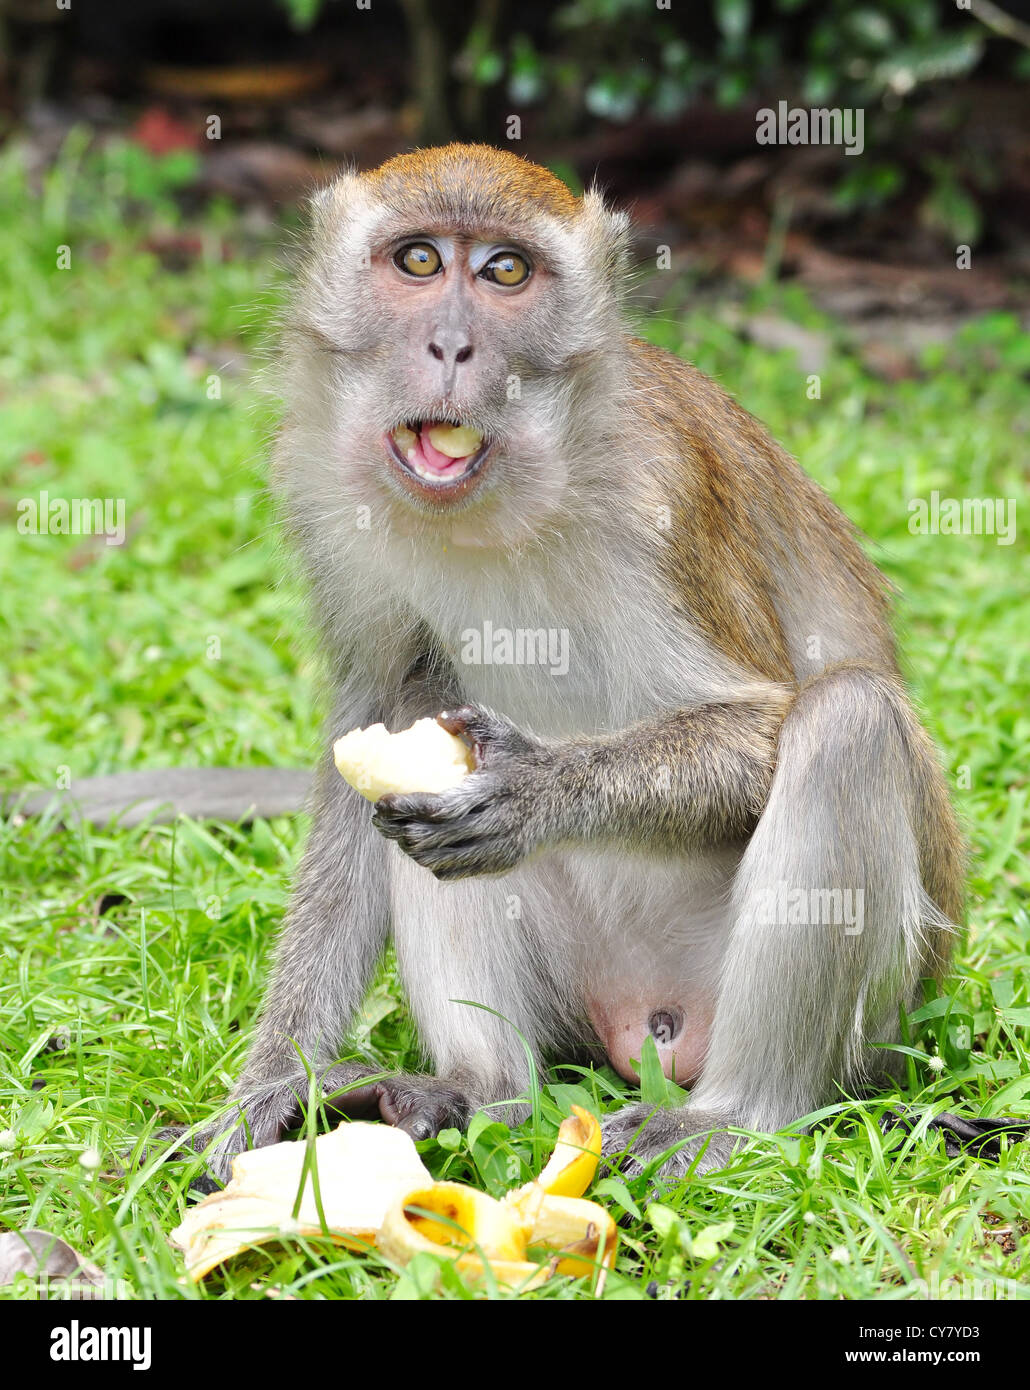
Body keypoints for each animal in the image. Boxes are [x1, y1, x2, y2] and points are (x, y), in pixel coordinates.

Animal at [78, 143, 964, 1187]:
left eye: (506, 272)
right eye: (419, 262)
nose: (453, 347)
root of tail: (645, 1030)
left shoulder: (663, 487)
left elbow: (763, 724)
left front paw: (538, 791)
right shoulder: (322, 486)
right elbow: (367, 729)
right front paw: (266, 1082)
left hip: (885, 1010)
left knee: (849, 721)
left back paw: (736, 1114)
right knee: (419, 703)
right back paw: (471, 1090)